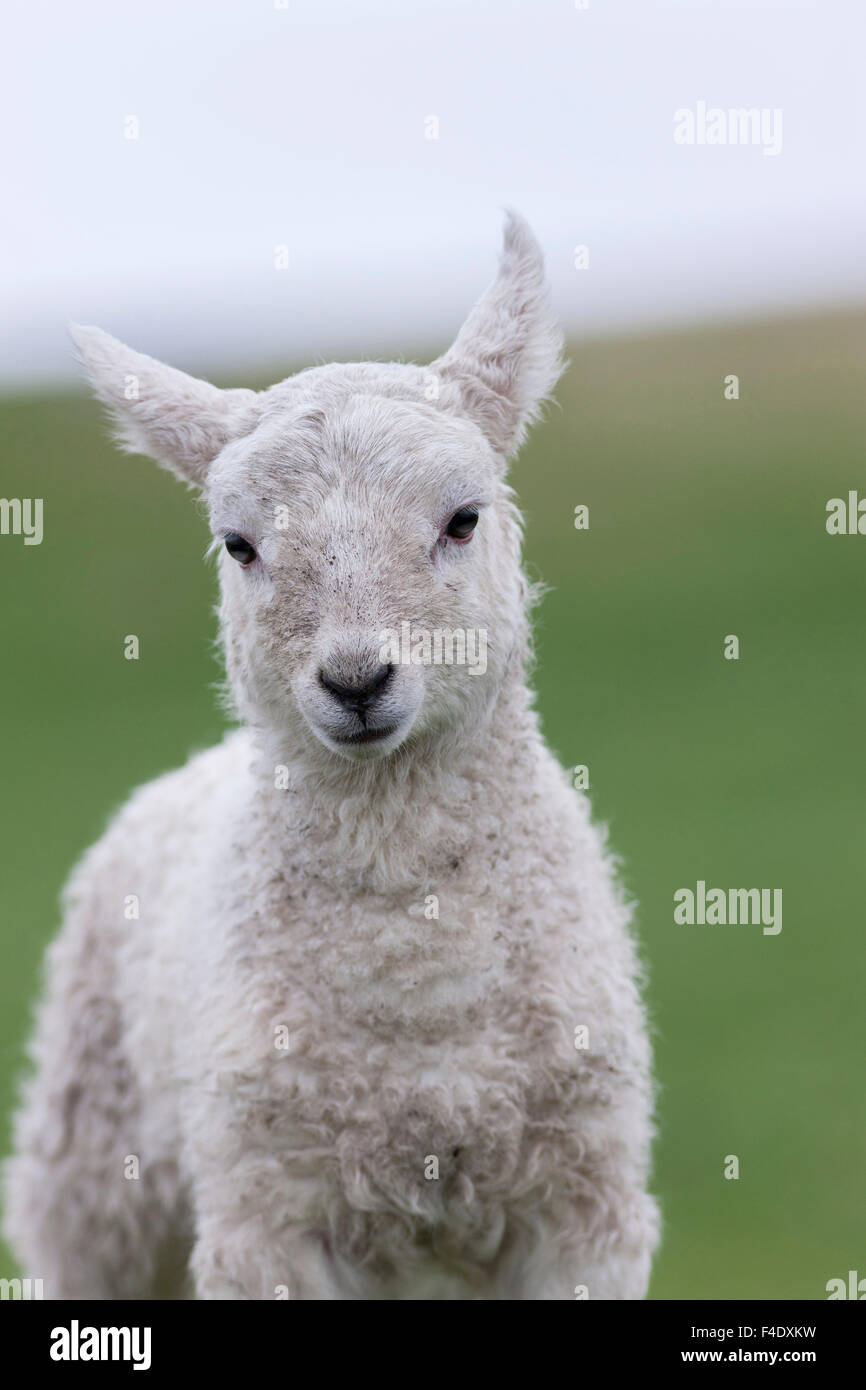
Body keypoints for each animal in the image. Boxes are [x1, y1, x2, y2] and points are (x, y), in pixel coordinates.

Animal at [2, 212, 659, 1300]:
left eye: (462, 519)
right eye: (238, 545)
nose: (355, 680)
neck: (417, 990)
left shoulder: (582, 1205)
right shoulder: (268, 1207)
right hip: (92, 1176)